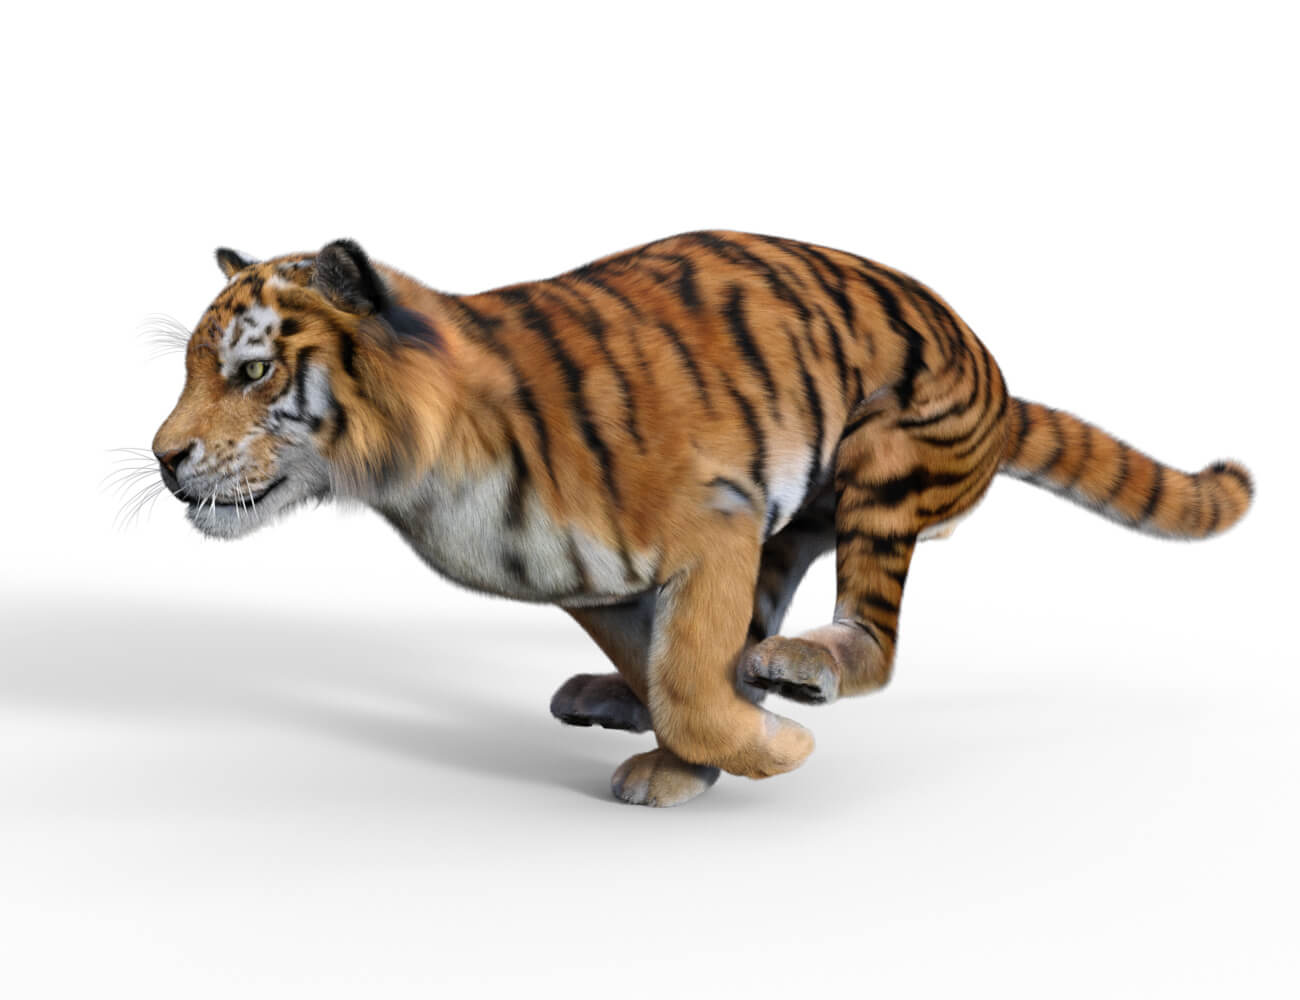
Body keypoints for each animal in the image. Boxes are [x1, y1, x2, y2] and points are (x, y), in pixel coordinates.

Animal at [151, 231, 1254, 807]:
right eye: (197, 369)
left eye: (252, 372)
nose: (163, 457)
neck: (412, 480)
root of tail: (998, 378)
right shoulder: (600, 578)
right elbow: (668, 665)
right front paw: (696, 755)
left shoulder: (710, 524)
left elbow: (686, 679)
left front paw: (765, 753)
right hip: (792, 521)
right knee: (755, 627)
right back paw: (650, 691)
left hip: (882, 466)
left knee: (873, 635)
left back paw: (804, 672)